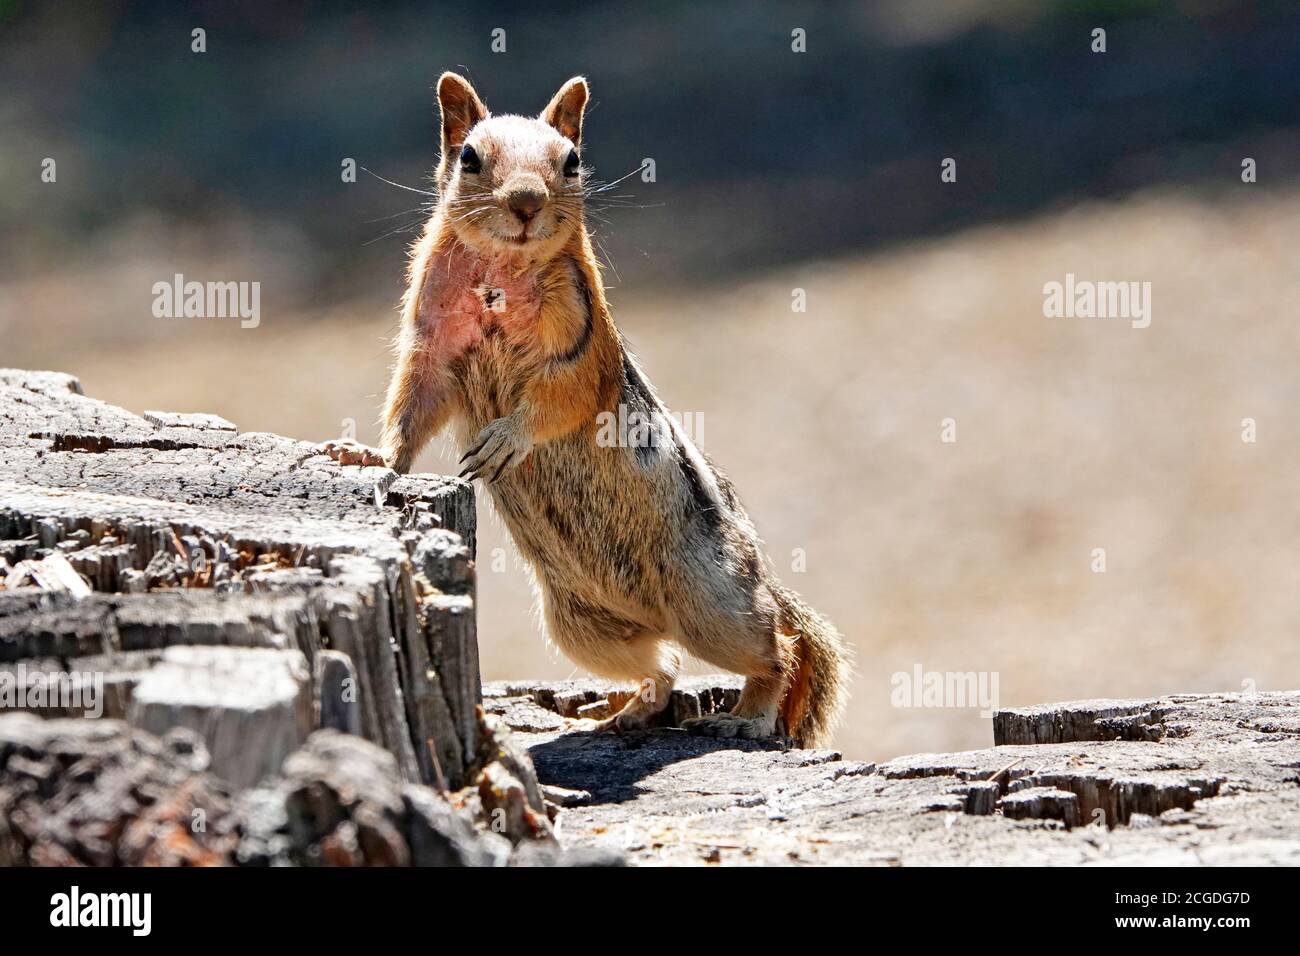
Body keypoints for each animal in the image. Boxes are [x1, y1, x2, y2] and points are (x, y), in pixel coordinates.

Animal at [325, 74, 850, 747]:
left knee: (774, 646)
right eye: (469, 156)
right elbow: (412, 409)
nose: (526, 201)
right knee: (665, 667)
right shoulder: (433, 347)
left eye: (571, 160)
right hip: (579, 626)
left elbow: (564, 395)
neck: (502, 273)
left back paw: (747, 715)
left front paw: (505, 437)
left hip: (711, 604)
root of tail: (758, 575)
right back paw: (626, 713)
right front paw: (371, 457)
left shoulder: (581, 341)